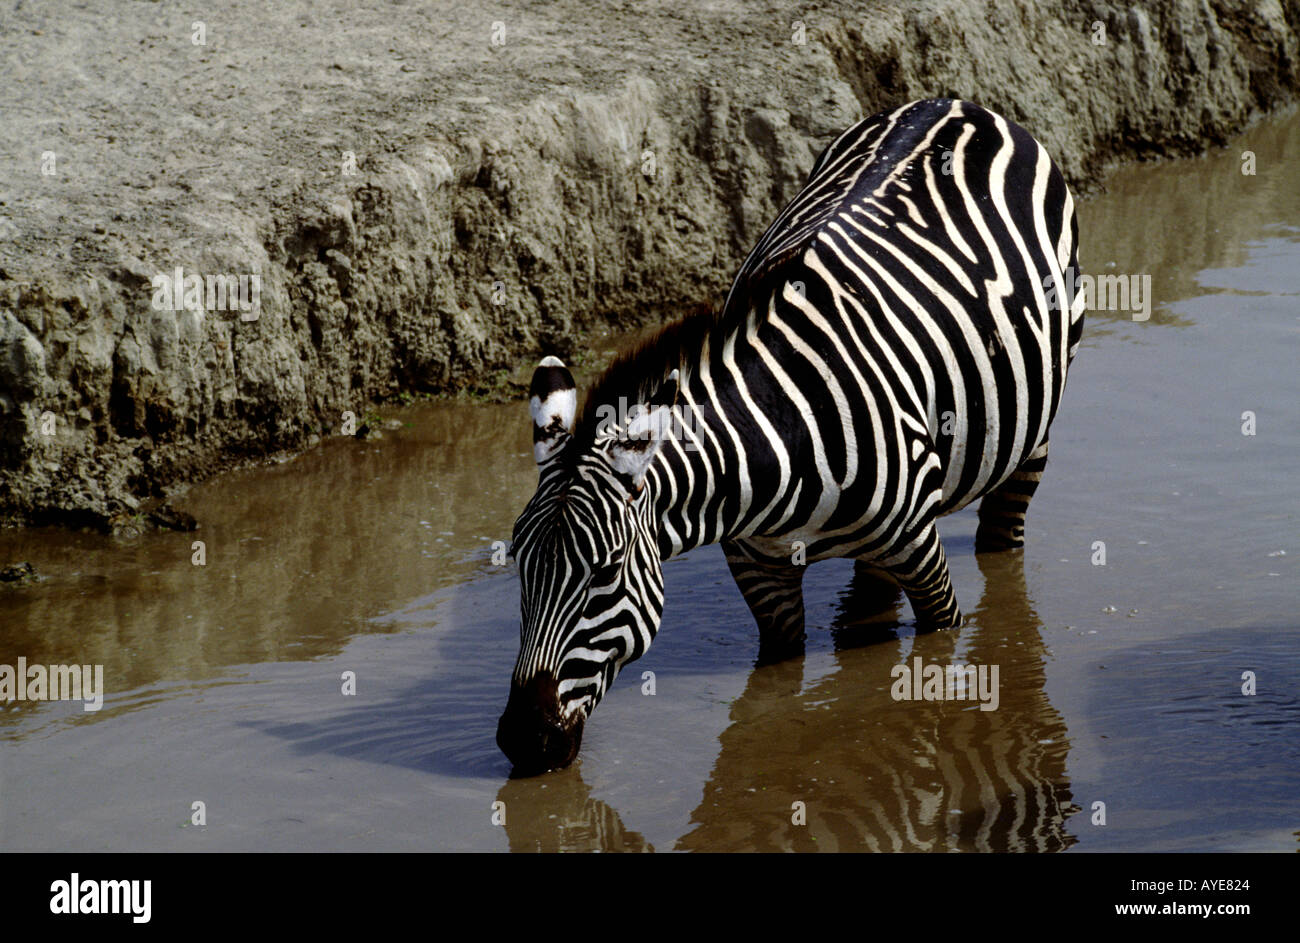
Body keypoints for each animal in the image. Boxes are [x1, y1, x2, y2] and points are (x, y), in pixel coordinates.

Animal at [497, 98, 1085, 774]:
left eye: (606, 573)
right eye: (518, 567)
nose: (523, 741)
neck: (772, 460)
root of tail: (953, 103)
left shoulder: (920, 549)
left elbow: (938, 648)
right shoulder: (760, 570)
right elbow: (776, 684)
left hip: (1033, 428)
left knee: (1003, 539)